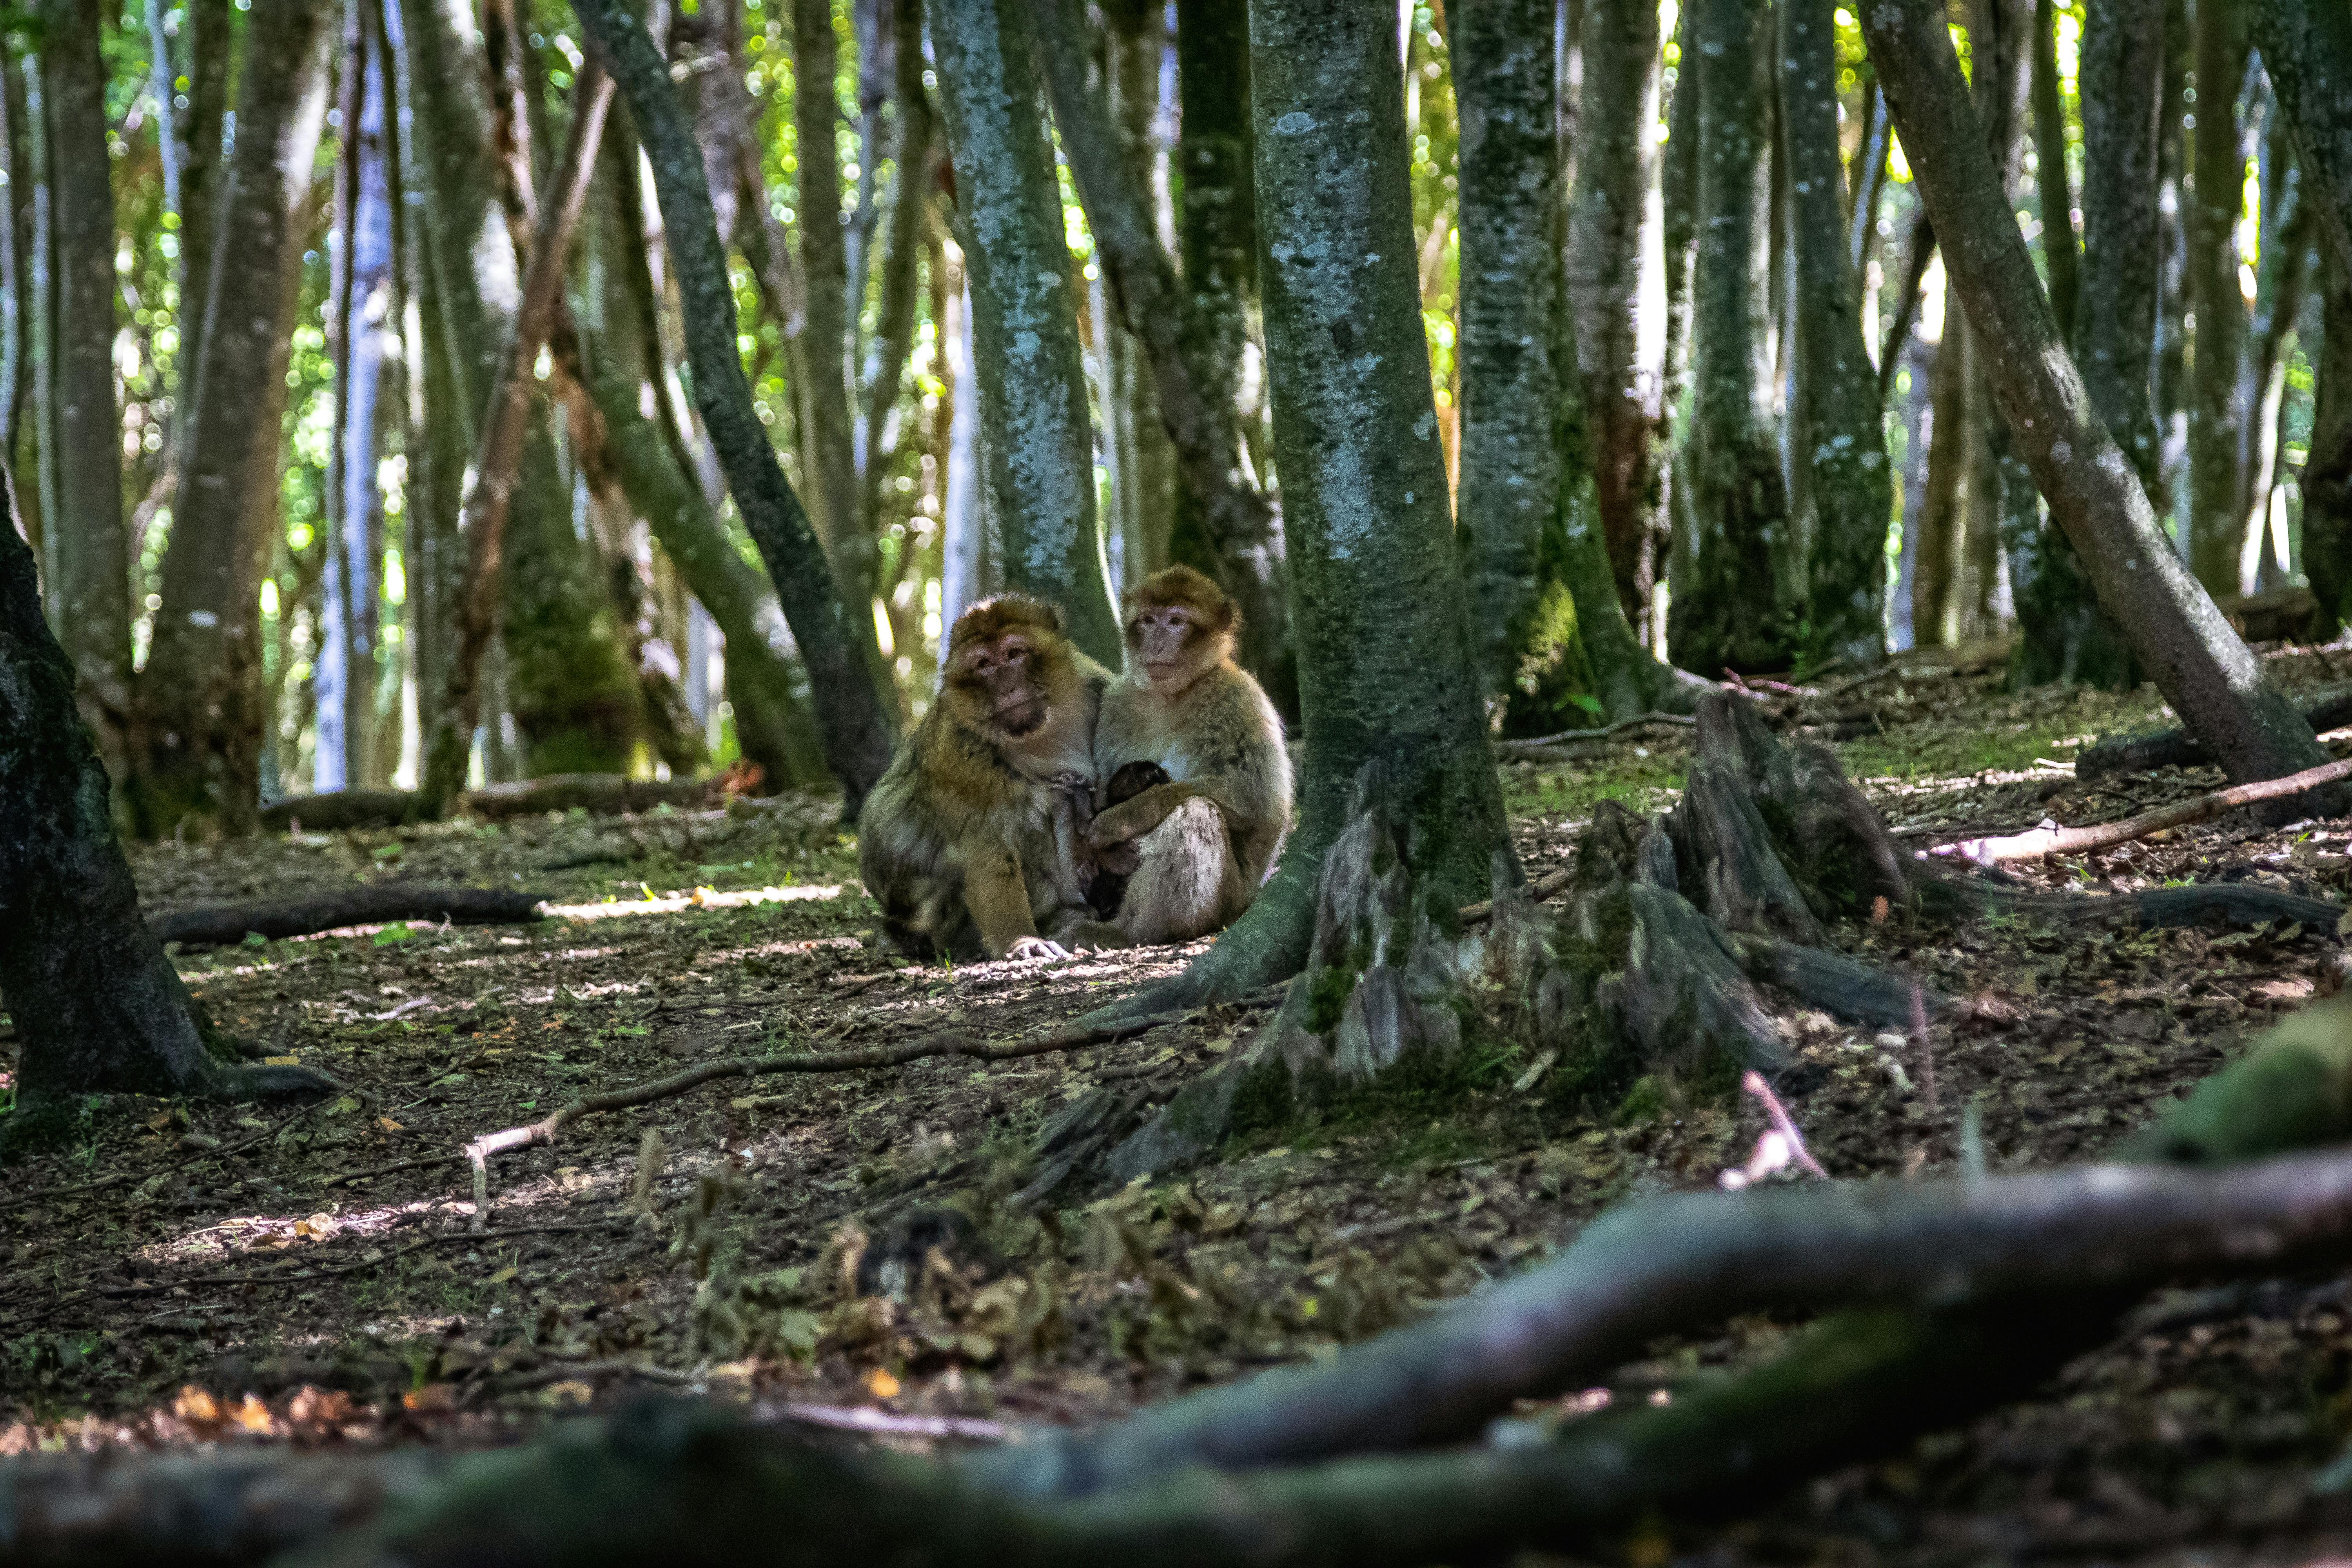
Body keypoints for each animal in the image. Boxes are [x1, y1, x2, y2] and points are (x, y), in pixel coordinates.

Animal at [857, 595, 1124, 961]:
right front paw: (1022, 939)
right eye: (983, 664)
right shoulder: (960, 748)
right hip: (947, 922)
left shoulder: (1102, 686)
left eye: (1014, 654)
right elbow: (987, 847)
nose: (1008, 688)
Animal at [1086, 566, 1292, 945]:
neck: (1172, 695)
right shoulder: (1117, 699)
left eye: (1176, 621)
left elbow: (1254, 800)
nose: (1156, 642)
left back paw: (1134, 932)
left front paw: (1114, 823)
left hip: (1230, 901)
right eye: (1149, 620)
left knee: (1194, 810)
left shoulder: (1238, 696)